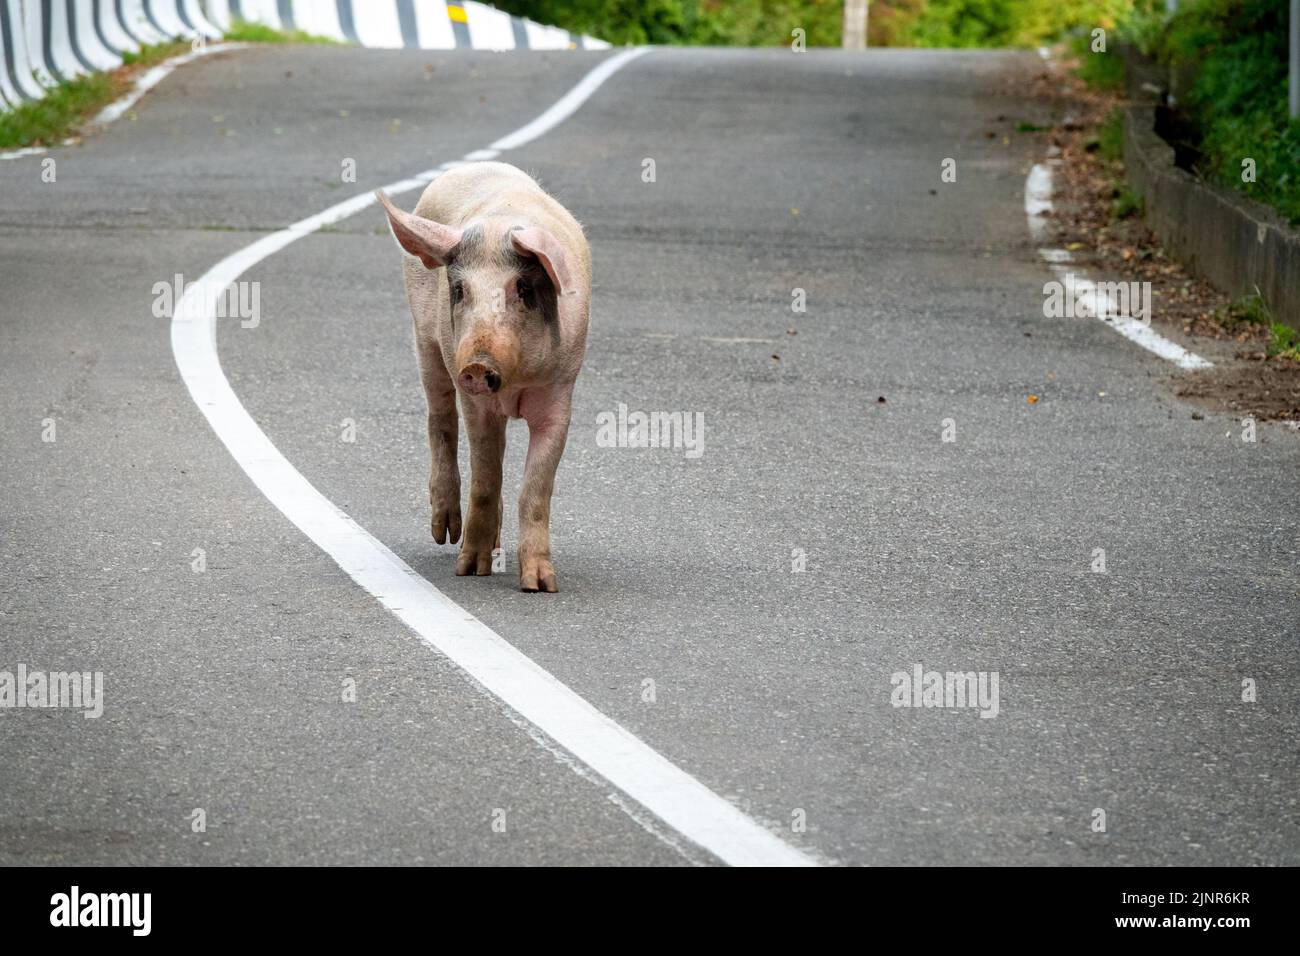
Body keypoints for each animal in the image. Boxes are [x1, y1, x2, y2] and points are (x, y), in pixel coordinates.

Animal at [376, 162, 591, 593]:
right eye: (460, 290)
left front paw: (540, 586)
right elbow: (485, 479)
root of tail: (470, 167)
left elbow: (535, 488)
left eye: (522, 288)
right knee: (440, 419)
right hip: (426, 342)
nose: (476, 365)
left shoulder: (560, 391)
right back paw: (445, 534)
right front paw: (469, 570)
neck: (516, 381)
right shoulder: (477, 402)